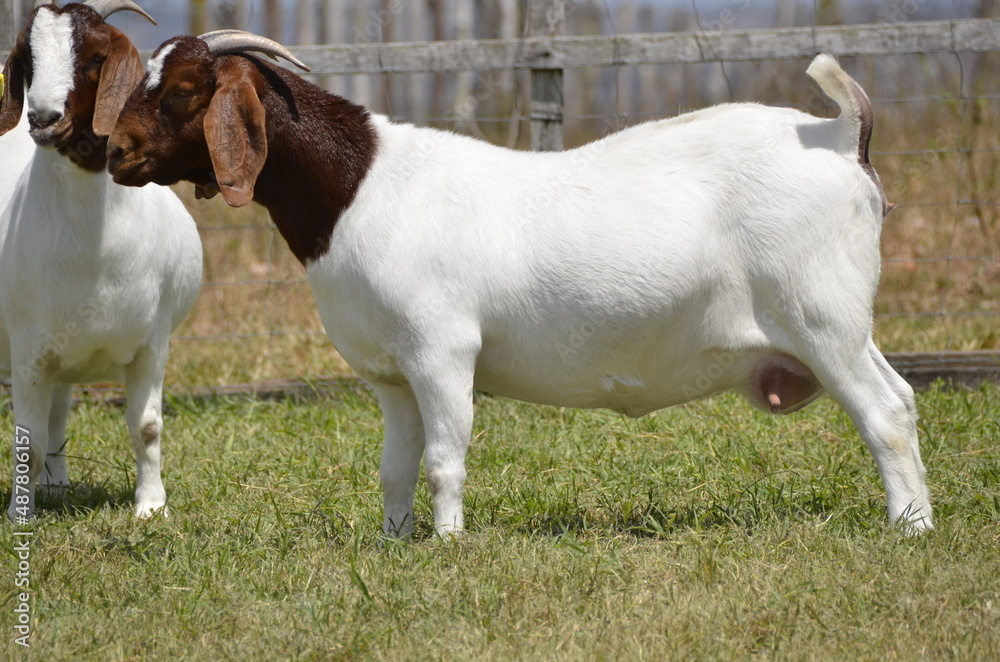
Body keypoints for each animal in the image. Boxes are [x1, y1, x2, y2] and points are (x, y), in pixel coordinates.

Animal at [0, 1, 203, 521]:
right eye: (27, 59)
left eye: (95, 57)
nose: (43, 118)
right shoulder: (27, 349)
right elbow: (26, 441)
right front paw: (19, 515)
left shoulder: (152, 344)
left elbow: (147, 427)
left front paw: (151, 506)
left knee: (58, 412)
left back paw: (56, 485)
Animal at [107, 31, 932, 537]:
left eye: (183, 89)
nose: (115, 151)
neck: (362, 188)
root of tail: (838, 137)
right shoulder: (390, 375)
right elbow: (395, 469)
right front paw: (393, 542)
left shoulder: (441, 351)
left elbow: (445, 458)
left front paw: (446, 544)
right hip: (843, 323)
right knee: (904, 395)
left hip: (819, 317)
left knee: (885, 412)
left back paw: (909, 528)